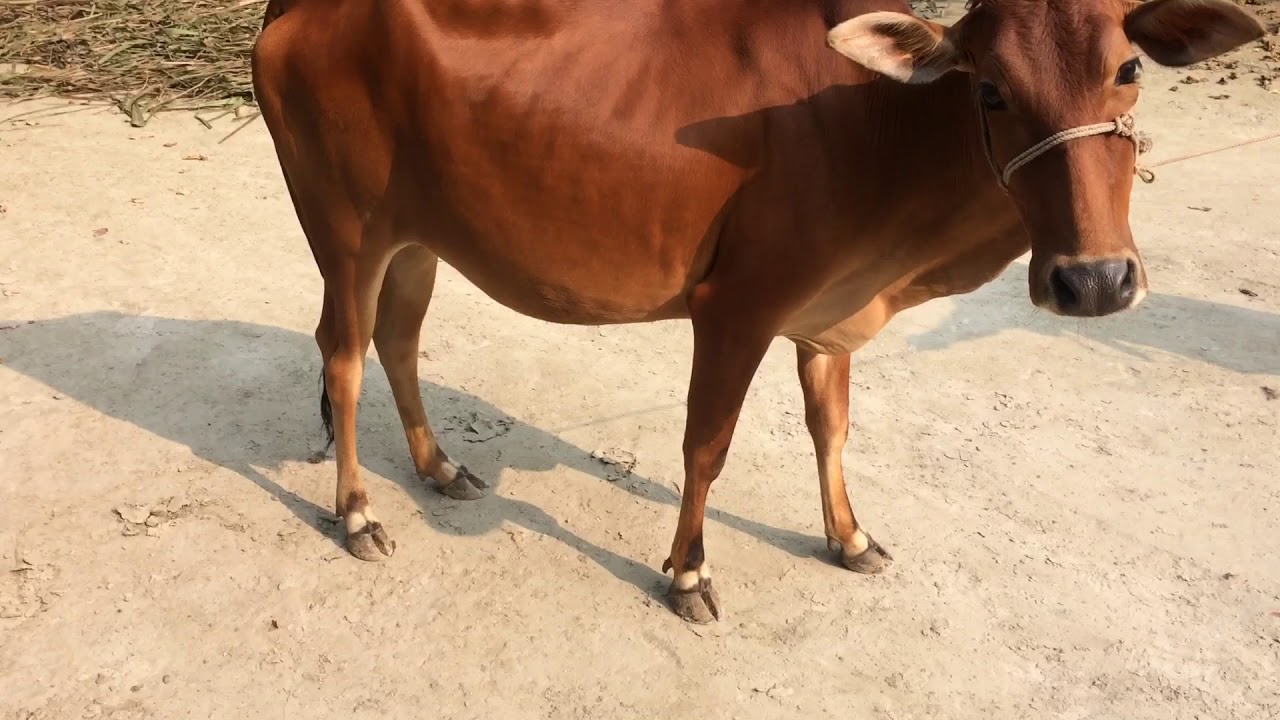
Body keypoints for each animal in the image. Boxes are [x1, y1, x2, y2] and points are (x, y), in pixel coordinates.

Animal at [249, 0, 1265, 623]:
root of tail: (299, 10)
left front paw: (850, 537)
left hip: (418, 237)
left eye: (1129, 67)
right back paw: (356, 513)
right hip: (345, 231)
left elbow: (832, 428)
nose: (1095, 280)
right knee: (343, 354)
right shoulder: (735, 307)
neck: (876, 124)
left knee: (398, 341)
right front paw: (690, 572)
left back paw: (438, 467)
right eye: (991, 88)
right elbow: (707, 445)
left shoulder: (830, 308)